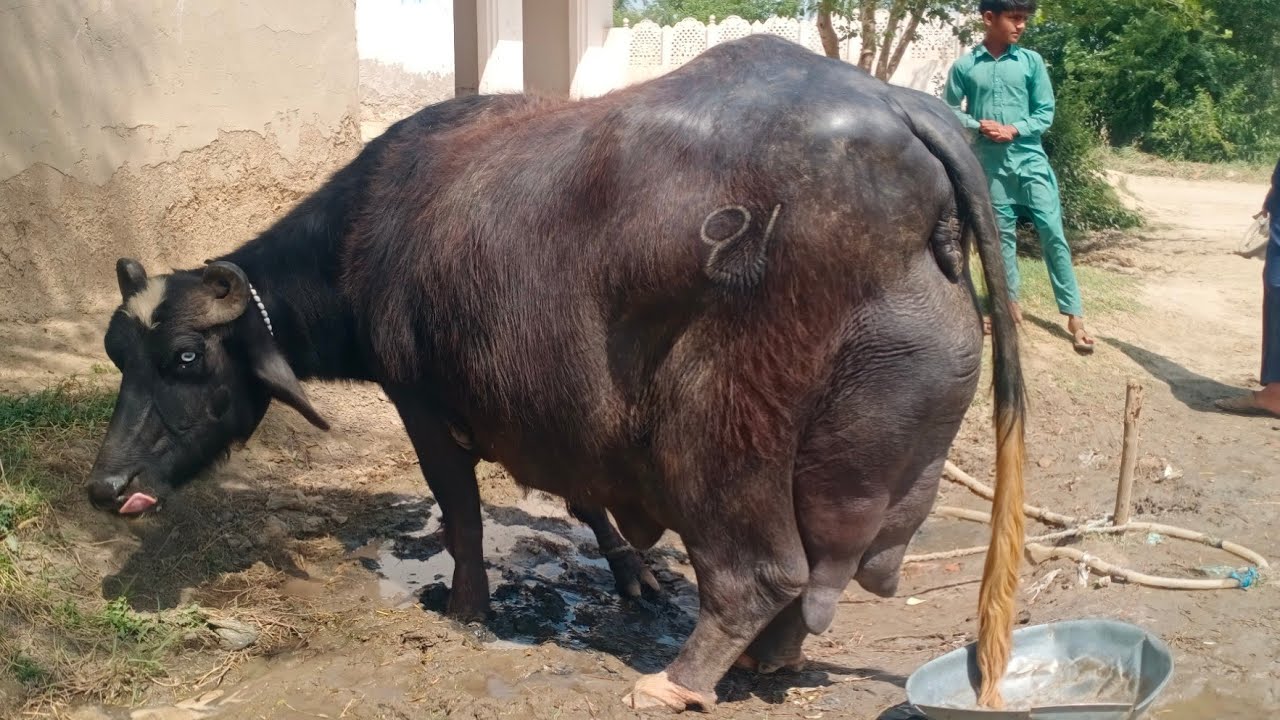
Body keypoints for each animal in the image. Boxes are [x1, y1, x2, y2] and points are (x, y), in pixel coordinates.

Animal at [86, 35, 1026, 711]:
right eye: (115, 355)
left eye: (184, 358)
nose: (104, 486)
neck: (367, 230)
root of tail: (898, 107)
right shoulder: (562, 410)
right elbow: (585, 495)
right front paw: (632, 572)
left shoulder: (422, 402)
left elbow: (462, 513)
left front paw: (465, 606)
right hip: (878, 433)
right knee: (829, 566)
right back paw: (769, 659)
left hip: (719, 425)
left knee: (764, 569)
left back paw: (678, 682)